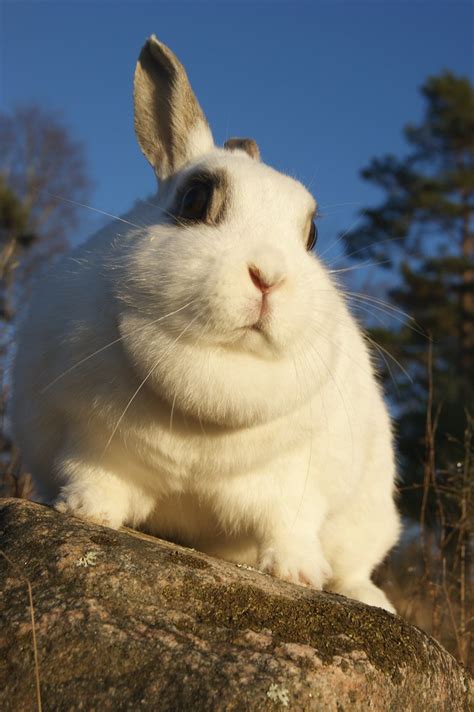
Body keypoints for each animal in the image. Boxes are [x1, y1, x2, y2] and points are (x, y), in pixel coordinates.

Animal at [11, 35, 400, 613]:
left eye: (310, 236)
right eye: (195, 200)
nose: (268, 276)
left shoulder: (297, 486)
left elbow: (291, 527)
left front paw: (299, 574)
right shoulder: (88, 439)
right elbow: (94, 477)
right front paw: (85, 511)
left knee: (354, 565)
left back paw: (369, 596)